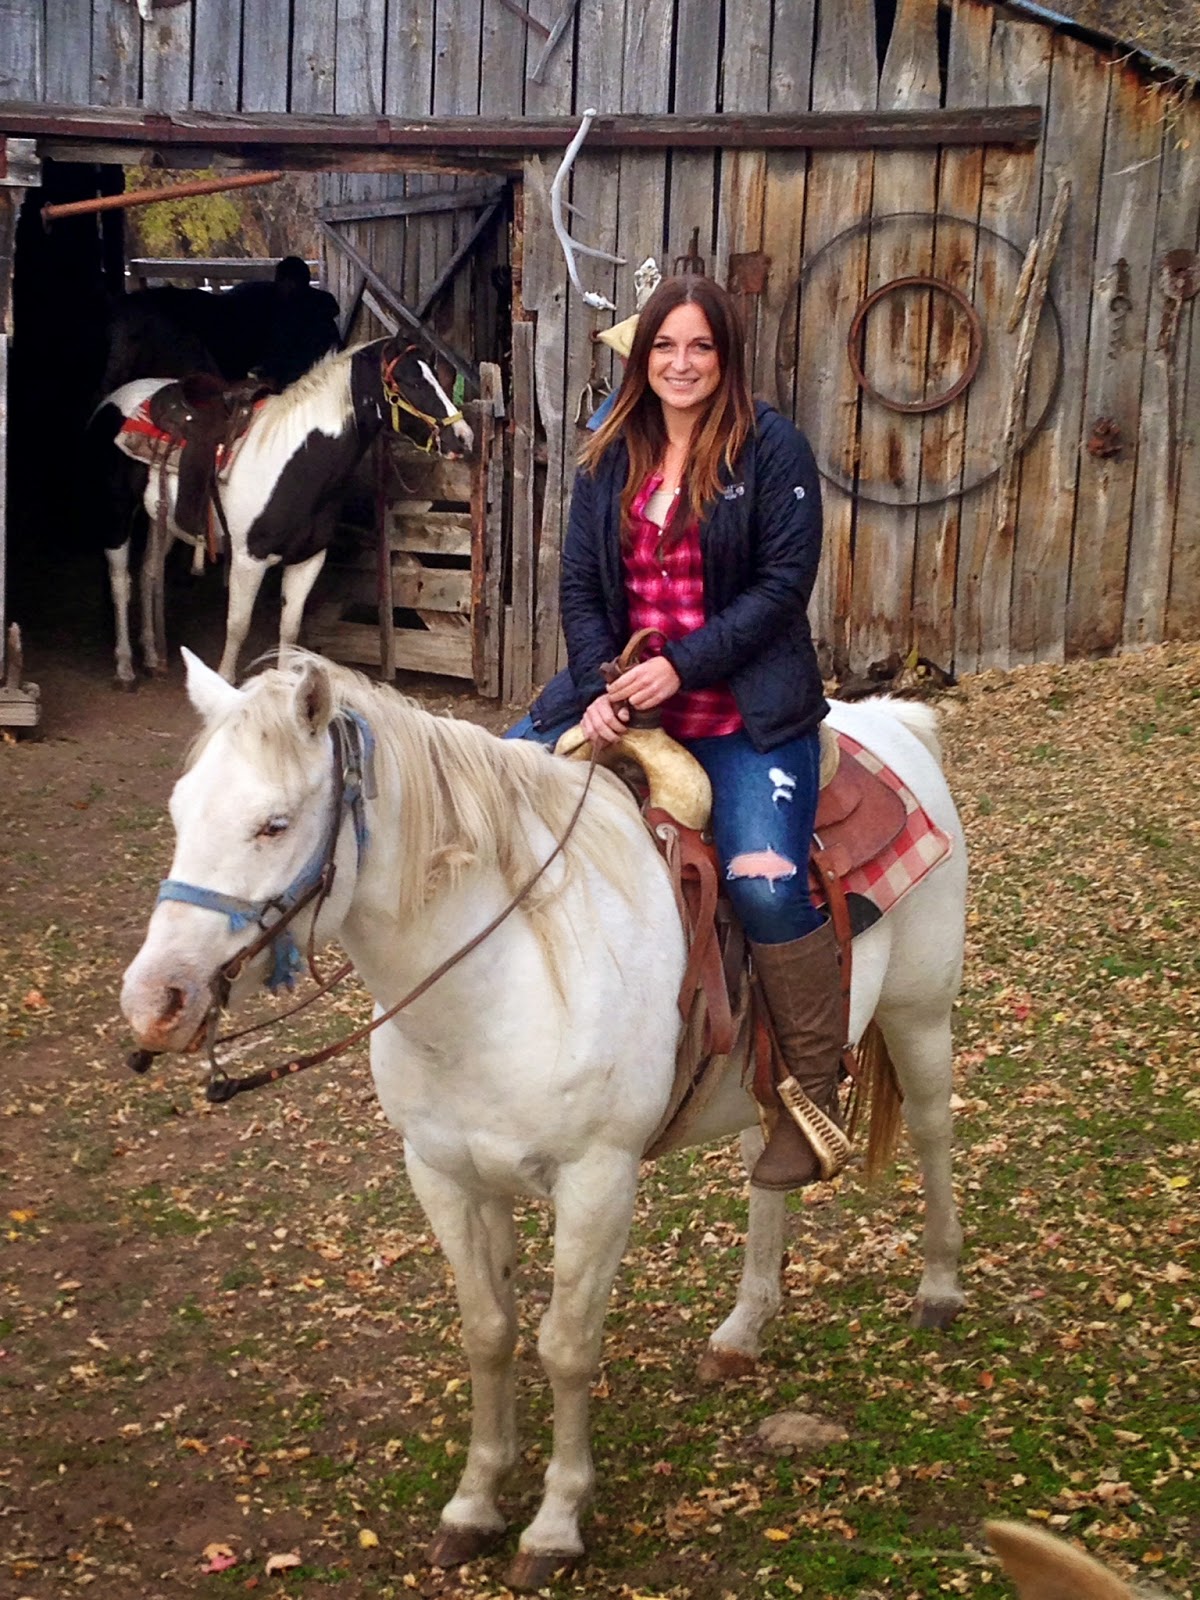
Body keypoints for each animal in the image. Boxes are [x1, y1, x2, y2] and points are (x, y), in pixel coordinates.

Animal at [92, 338, 473, 687]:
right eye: (412, 382)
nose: (464, 437)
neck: (293, 462)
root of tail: (113, 400)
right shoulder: (248, 559)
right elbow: (238, 626)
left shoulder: (308, 560)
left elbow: (289, 629)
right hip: (116, 514)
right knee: (121, 581)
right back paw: (125, 667)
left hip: (164, 521)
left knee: (149, 573)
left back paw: (152, 657)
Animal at [120, 650, 967, 1590]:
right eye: (179, 812)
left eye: (273, 825)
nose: (155, 1002)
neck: (498, 978)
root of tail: (893, 717)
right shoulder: (445, 1174)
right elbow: (488, 1333)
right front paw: (475, 1504)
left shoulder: (597, 1182)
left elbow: (565, 1344)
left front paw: (556, 1525)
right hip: (764, 1078)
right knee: (766, 1172)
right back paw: (742, 1331)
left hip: (920, 1015)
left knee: (934, 1131)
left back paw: (939, 1290)